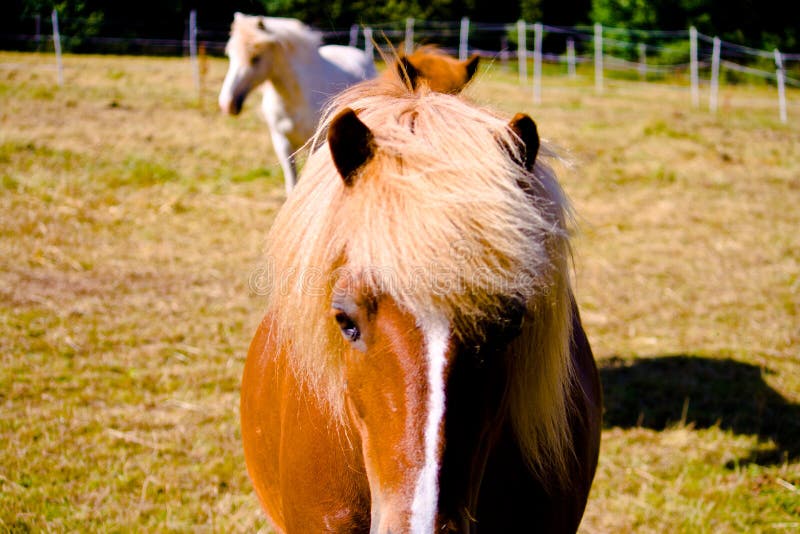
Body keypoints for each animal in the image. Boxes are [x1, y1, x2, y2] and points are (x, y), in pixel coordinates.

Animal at [218, 13, 376, 195]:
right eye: (230, 54)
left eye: (256, 58)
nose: (227, 104)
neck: (293, 98)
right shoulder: (282, 143)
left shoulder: (317, 145)